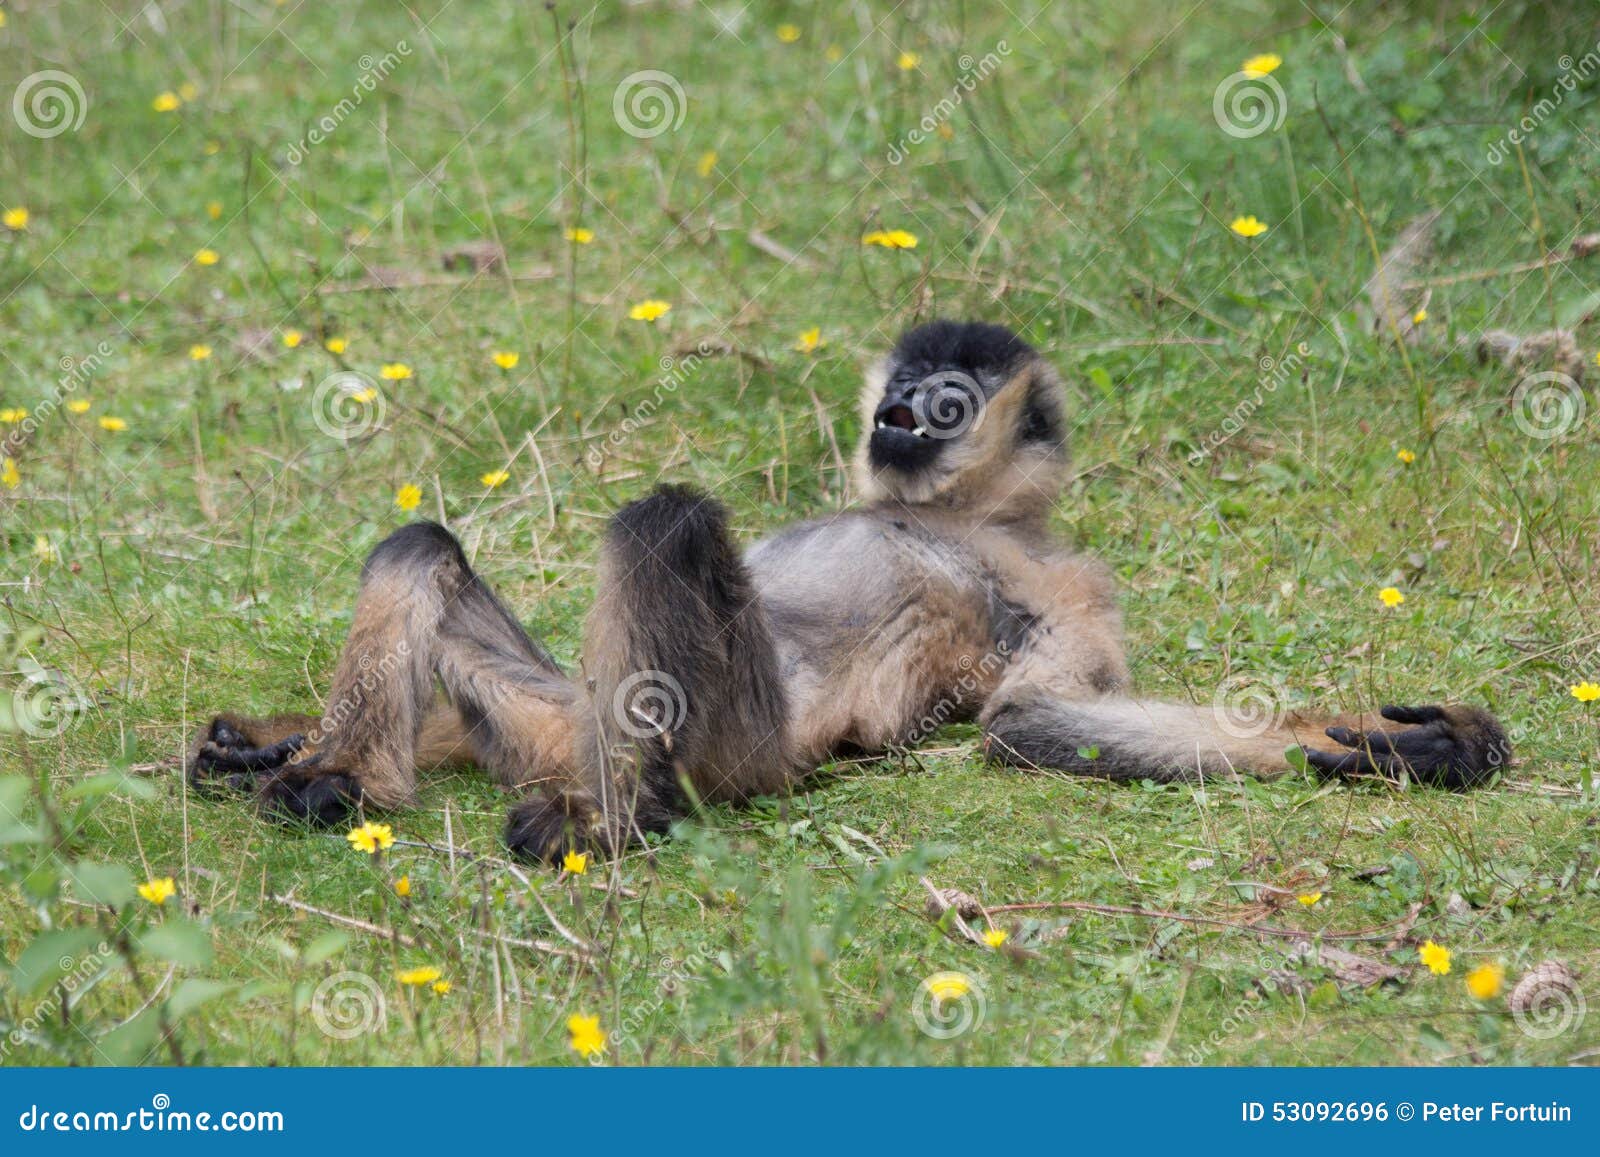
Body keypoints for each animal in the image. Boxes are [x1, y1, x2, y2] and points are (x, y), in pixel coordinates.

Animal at [188, 320, 1512, 863]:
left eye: (947, 401)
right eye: (902, 386)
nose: (898, 412)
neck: (952, 517)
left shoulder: (1070, 579)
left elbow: (1027, 716)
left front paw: (1398, 747)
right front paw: (273, 736)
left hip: (729, 742)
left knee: (665, 522)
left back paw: (614, 819)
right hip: (550, 711)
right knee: (421, 550)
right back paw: (332, 769)